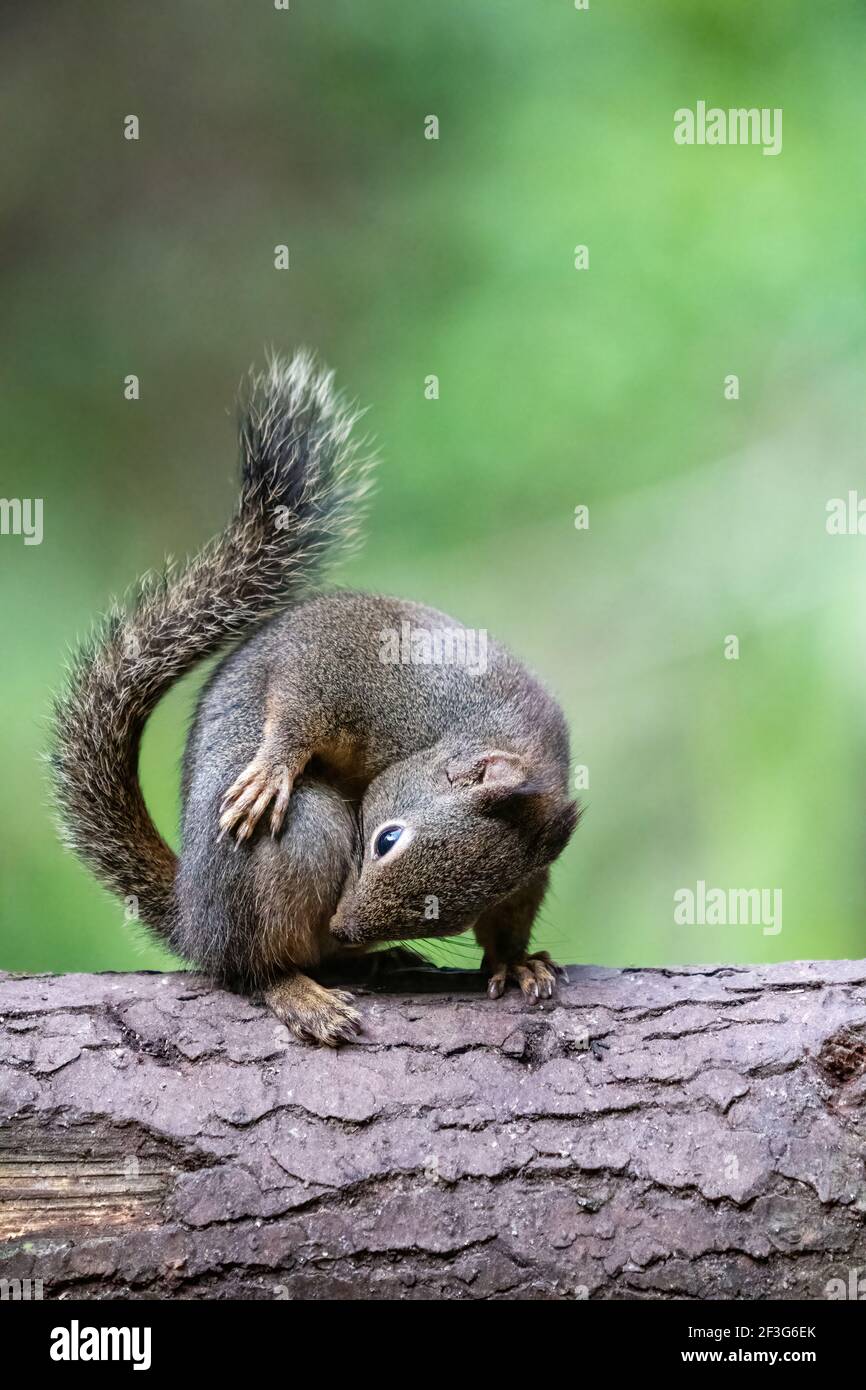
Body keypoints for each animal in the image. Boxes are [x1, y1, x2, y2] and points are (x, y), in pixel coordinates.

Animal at [51, 353, 580, 1045]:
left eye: (454, 914)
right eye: (384, 839)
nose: (346, 925)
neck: (472, 725)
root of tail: (196, 922)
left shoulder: (530, 869)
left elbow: (513, 918)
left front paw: (515, 963)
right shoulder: (346, 665)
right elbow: (300, 705)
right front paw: (273, 767)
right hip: (297, 840)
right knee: (249, 968)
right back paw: (300, 988)